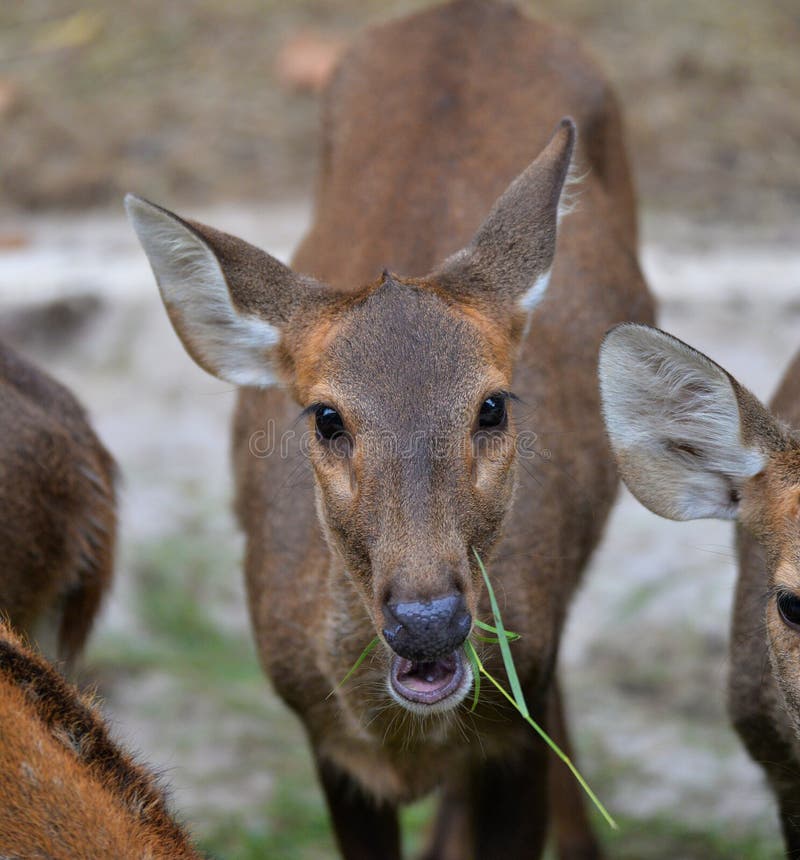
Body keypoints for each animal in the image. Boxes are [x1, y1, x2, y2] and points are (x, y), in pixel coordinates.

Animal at [126, 0, 654, 856]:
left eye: (492, 405)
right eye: (327, 416)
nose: (426, 622)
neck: (404, 741)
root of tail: (475, 12)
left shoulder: (518, 728)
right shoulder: (325, 744)